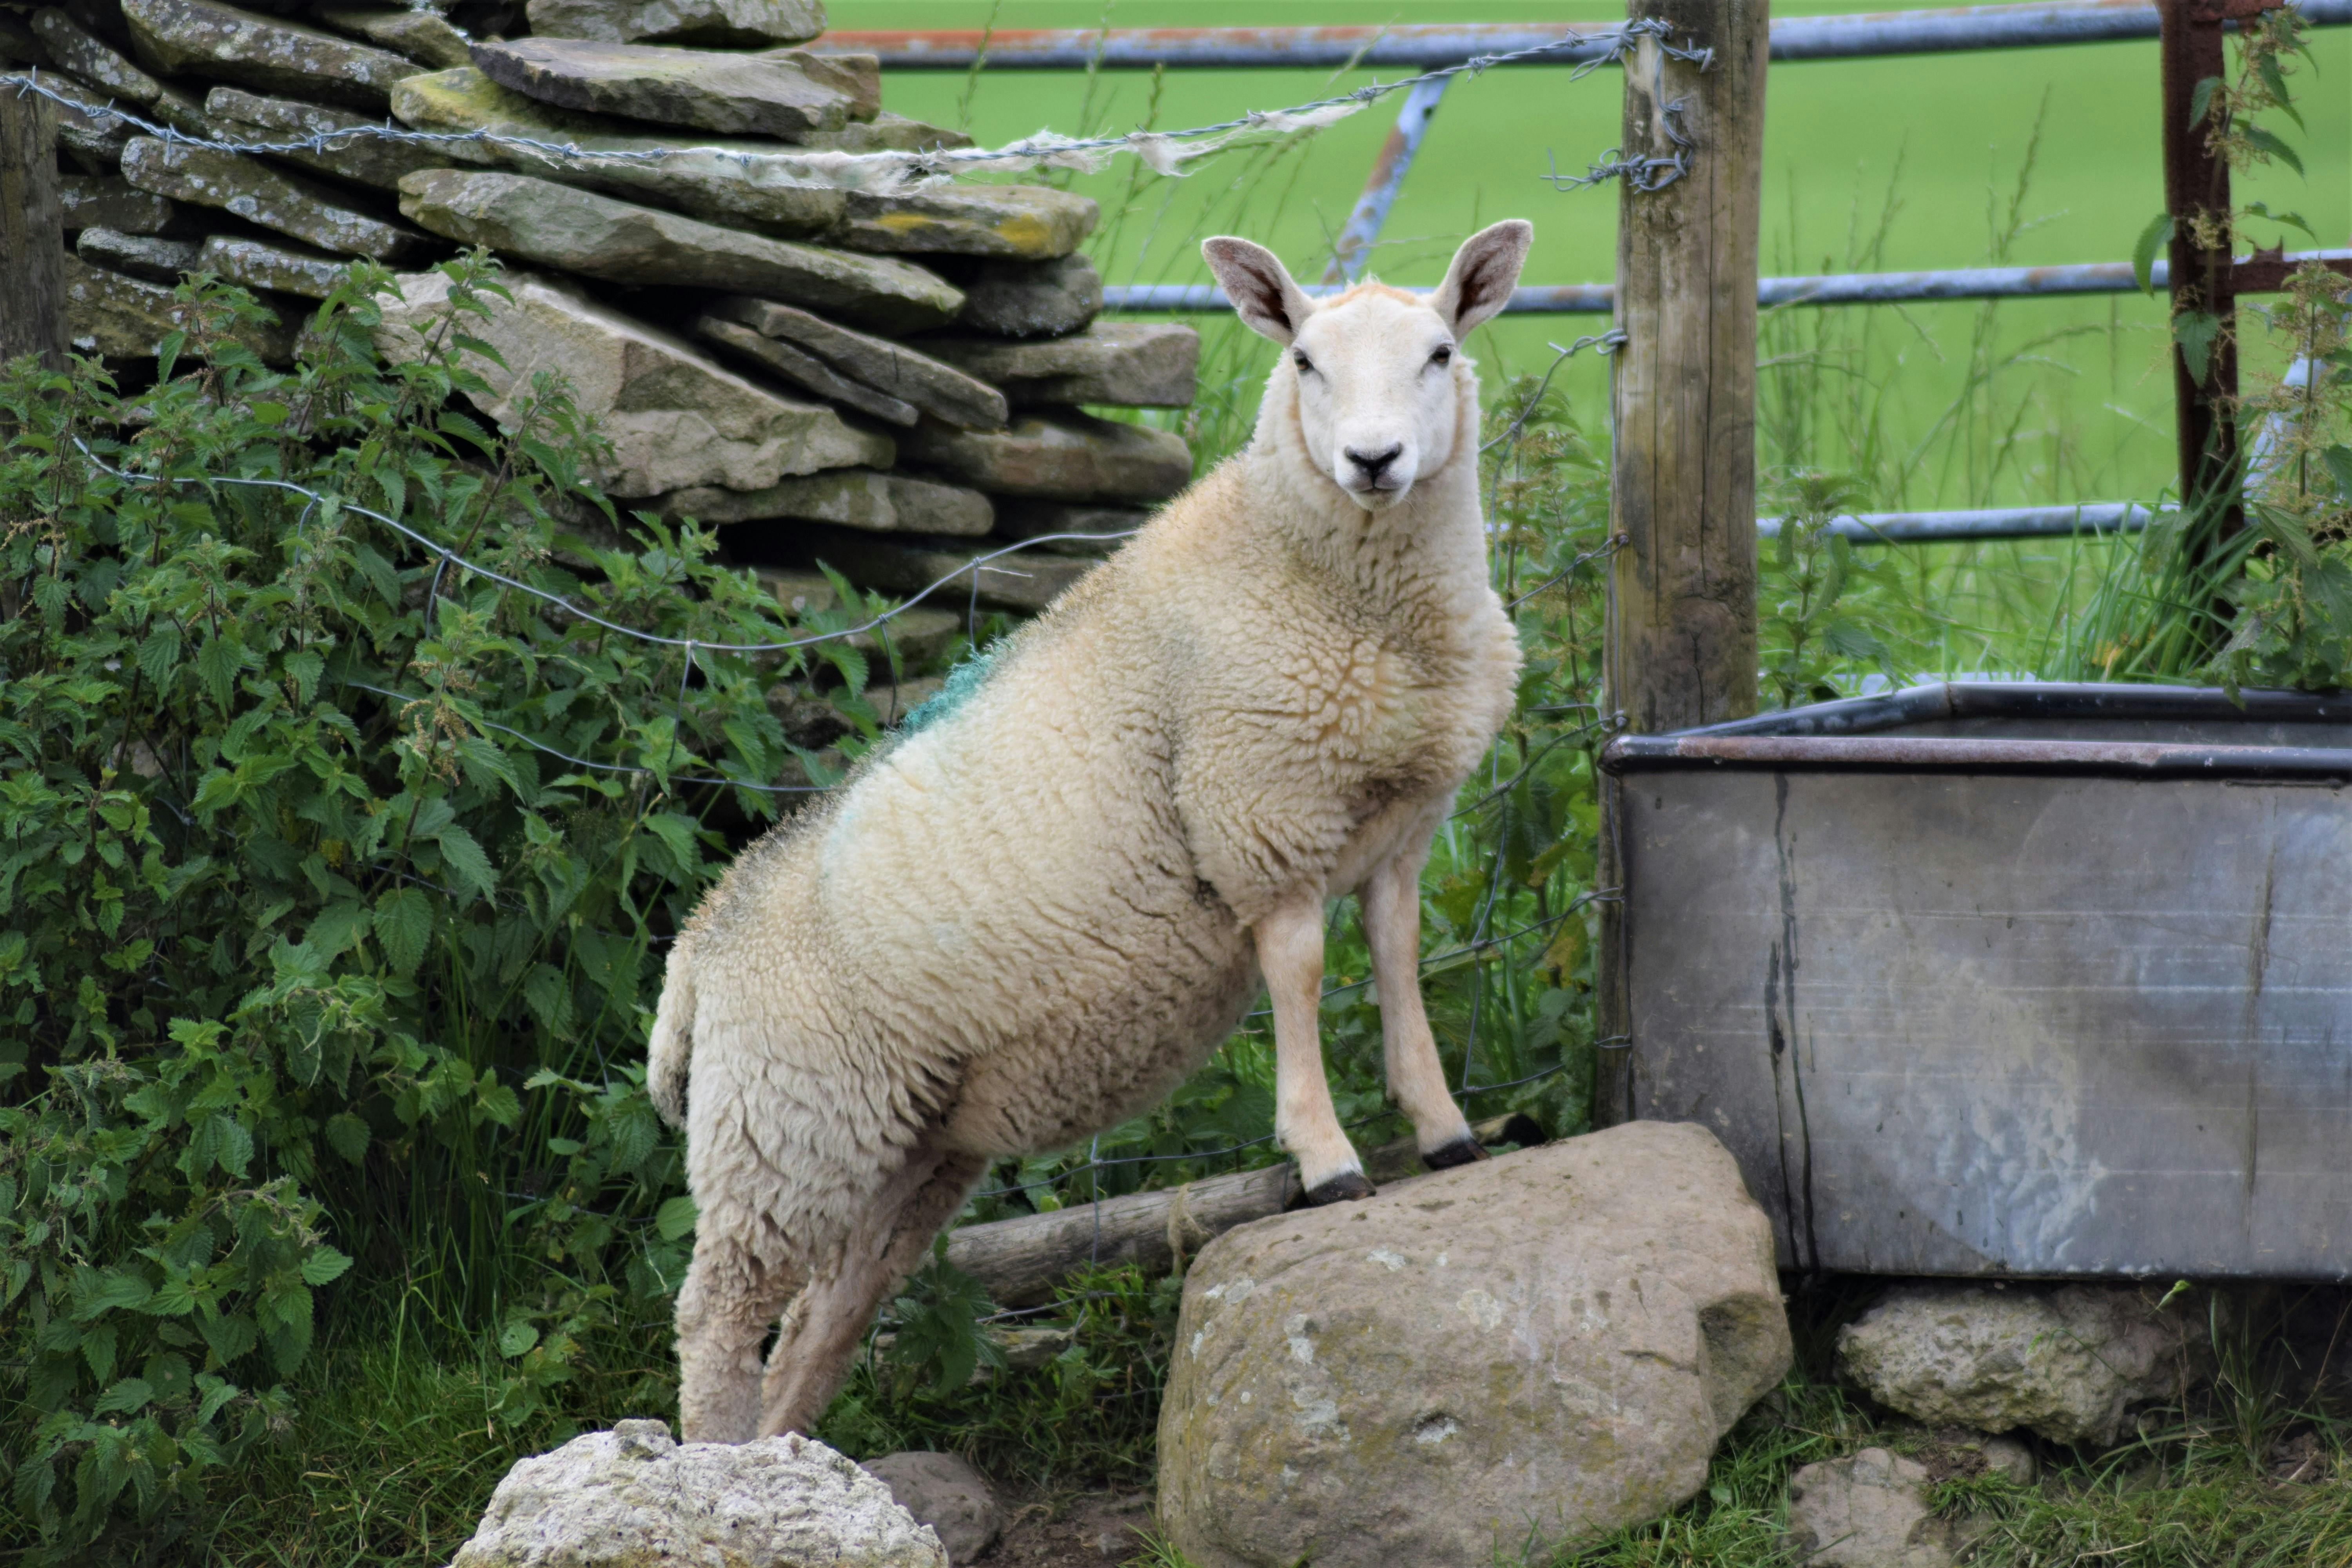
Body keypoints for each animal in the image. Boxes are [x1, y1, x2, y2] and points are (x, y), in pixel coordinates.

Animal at [649, 219, 1535, 1444]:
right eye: (1304, 360)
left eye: (1442, 353)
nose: (1373, 461)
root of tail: (696, 948)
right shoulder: (1256, 809)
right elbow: (1301, 973)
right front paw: (1326, 1159)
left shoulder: (1402, 824)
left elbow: (1399, 961)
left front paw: (1444, 1128)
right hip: (787, 1127)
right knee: (718, 1318)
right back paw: (718, 1462)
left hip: (909, 1145)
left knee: (825, 1318)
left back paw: (792, 1459)